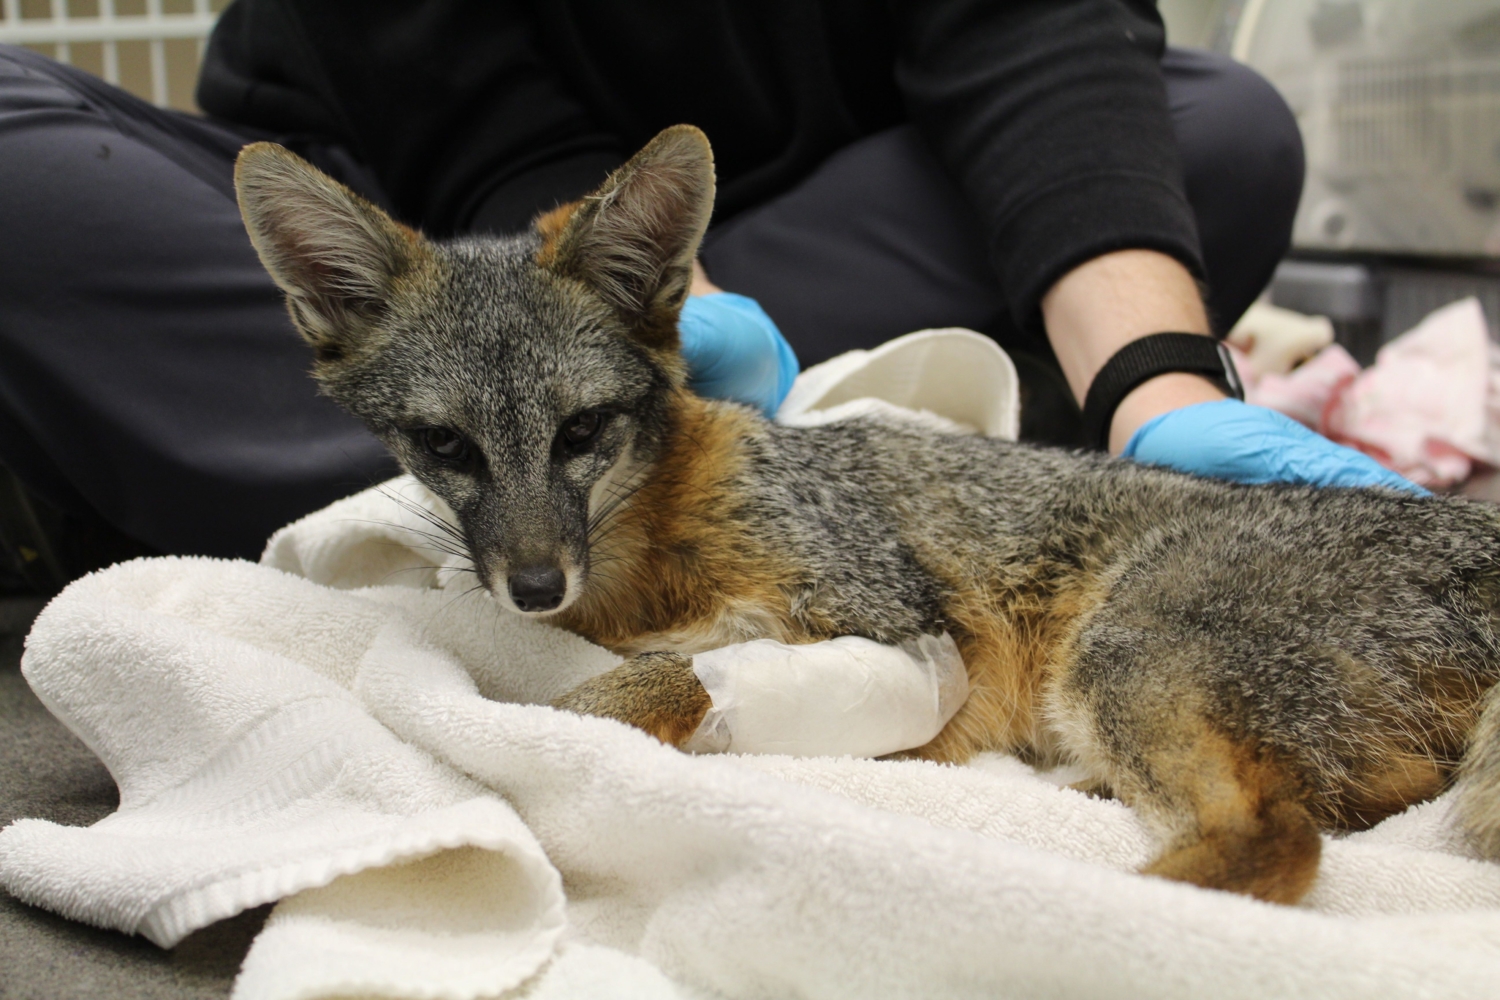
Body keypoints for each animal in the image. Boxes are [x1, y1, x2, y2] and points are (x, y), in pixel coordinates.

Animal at [234, 125, 1500, 905]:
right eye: (447, 446)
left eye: (584, 430)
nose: (536, 587)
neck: (655, 541)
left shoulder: (883, 608)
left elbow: (639, 686)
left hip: (1125, 656)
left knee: (1276, 845)